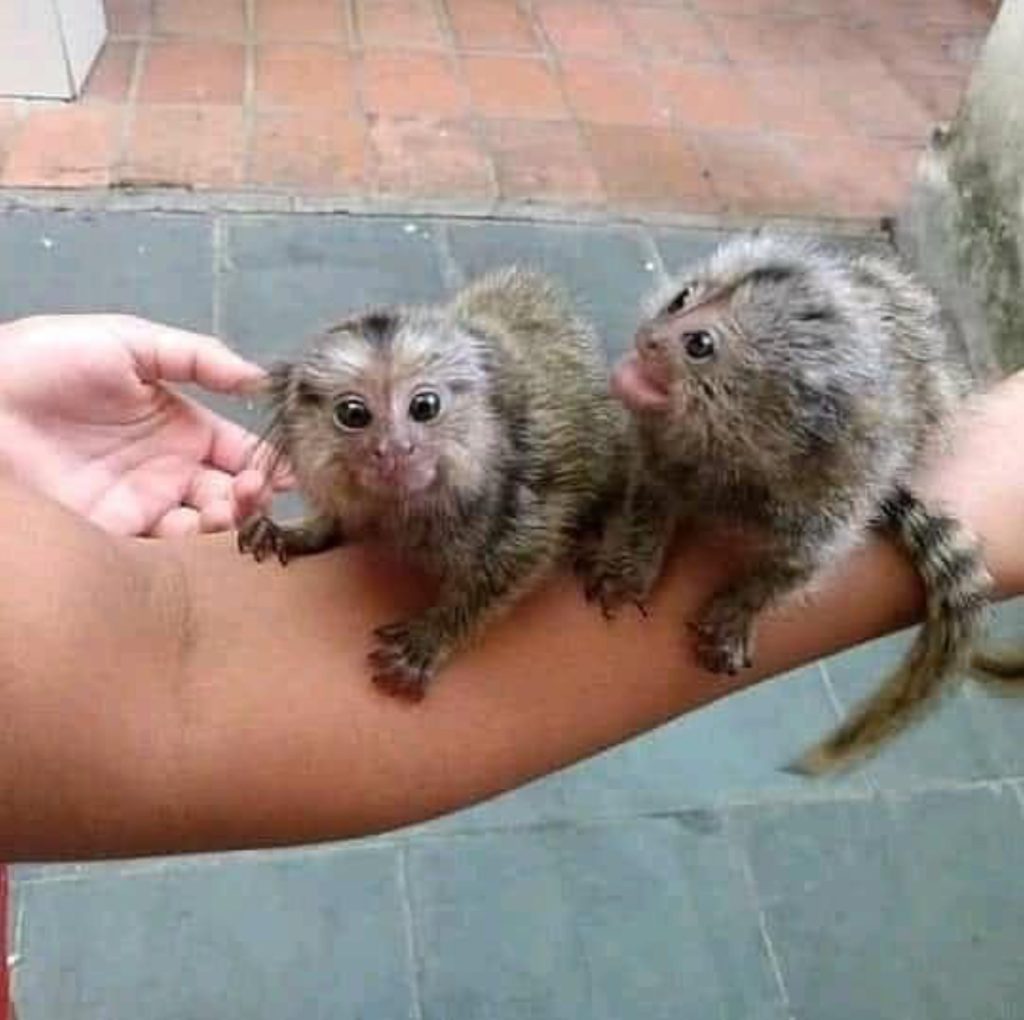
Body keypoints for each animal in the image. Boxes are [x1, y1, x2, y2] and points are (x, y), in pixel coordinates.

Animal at [237, 266, 628, 701]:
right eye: (353, 414)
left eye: (424, 407)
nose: (394, 449)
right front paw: (298, 532)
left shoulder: (522, 485)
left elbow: (520, 557)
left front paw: (433, 635)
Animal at [584, 232, 997, 774]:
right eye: (681, 299)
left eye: (699, 345)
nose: (650, 336)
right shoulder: (661, 451)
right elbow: (650, 496)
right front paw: (631, 567)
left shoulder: (832, 499)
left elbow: (798, 567)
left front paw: (740, 611)